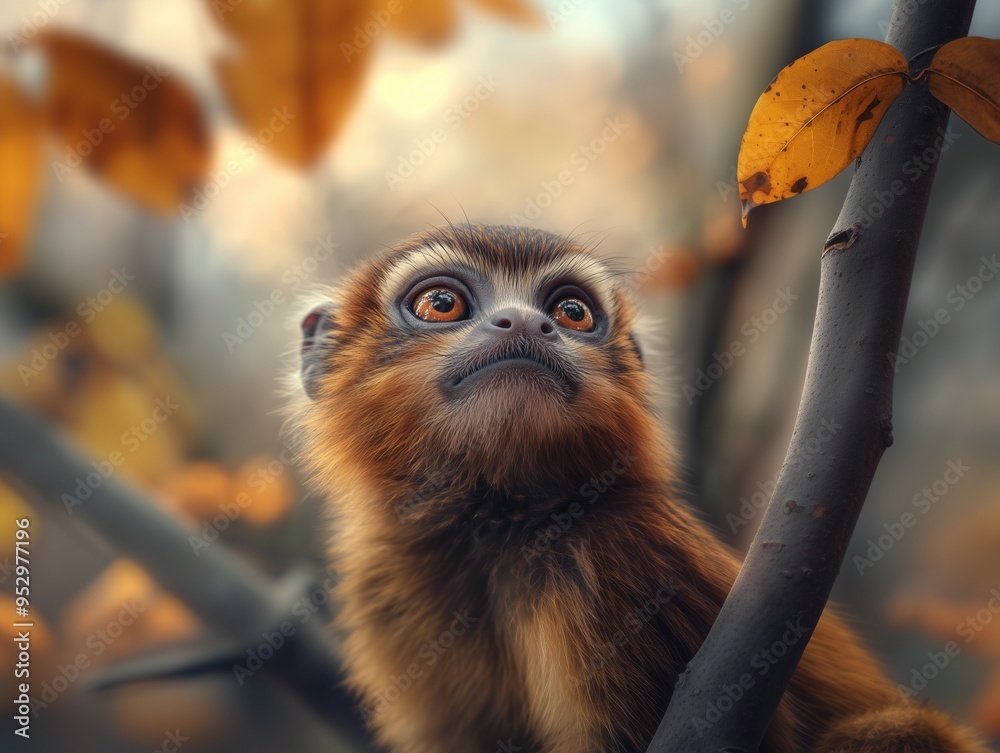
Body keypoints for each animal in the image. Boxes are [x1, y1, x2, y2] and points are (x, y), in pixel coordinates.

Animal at [291, 224, 986, 753]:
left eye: (570, 312)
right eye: (442, 304)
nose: (527, 324)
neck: (498, 525)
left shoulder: (622, 563)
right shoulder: (386, 587)